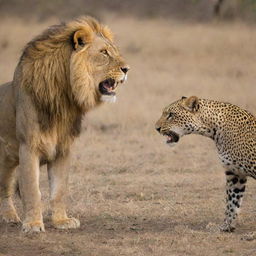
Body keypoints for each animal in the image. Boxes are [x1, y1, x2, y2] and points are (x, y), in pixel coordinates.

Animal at [0, 16, 128, 232]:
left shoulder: (63, 149)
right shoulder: (28, 147)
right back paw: (10, 217)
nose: (127, 69)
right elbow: (32, 190)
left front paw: (62, 221)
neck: (64, 99)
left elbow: (59, 191)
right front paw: (33, 224)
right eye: (104, 52)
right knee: (5, 190)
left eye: (114, 51)